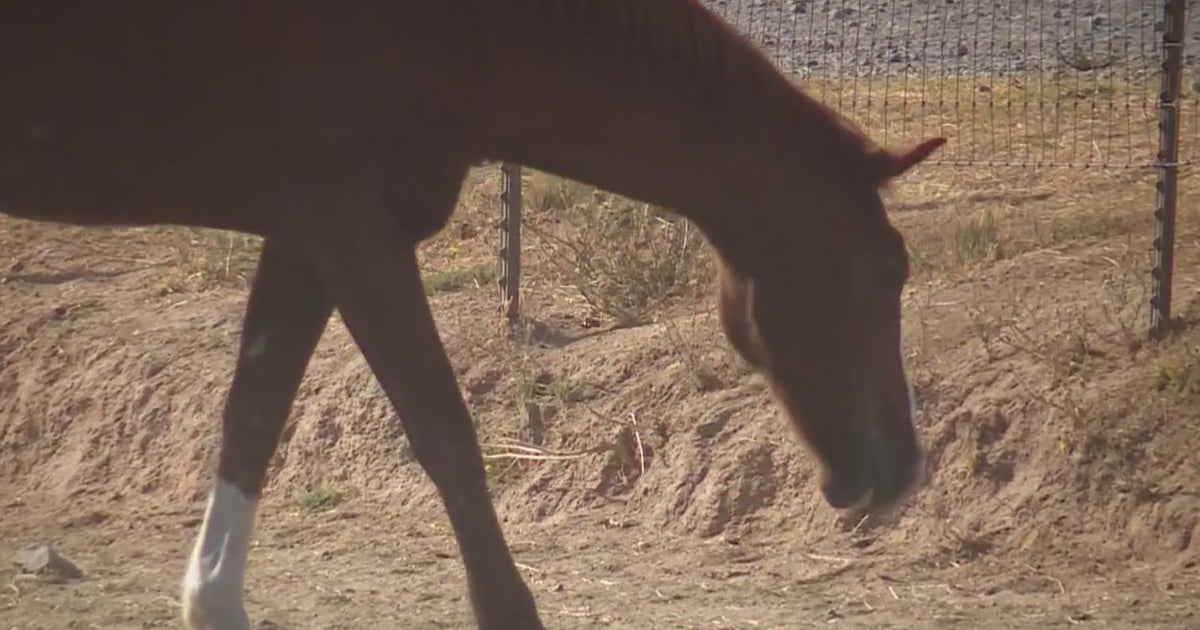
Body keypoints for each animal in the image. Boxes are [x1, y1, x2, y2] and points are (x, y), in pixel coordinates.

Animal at [0, 1, 944, 628]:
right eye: (887, 270)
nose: (905, 468)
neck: (456, 31)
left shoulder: (304, 240)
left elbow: (253, 422)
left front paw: (213, 597)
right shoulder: (357, 237)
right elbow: (448, 435)